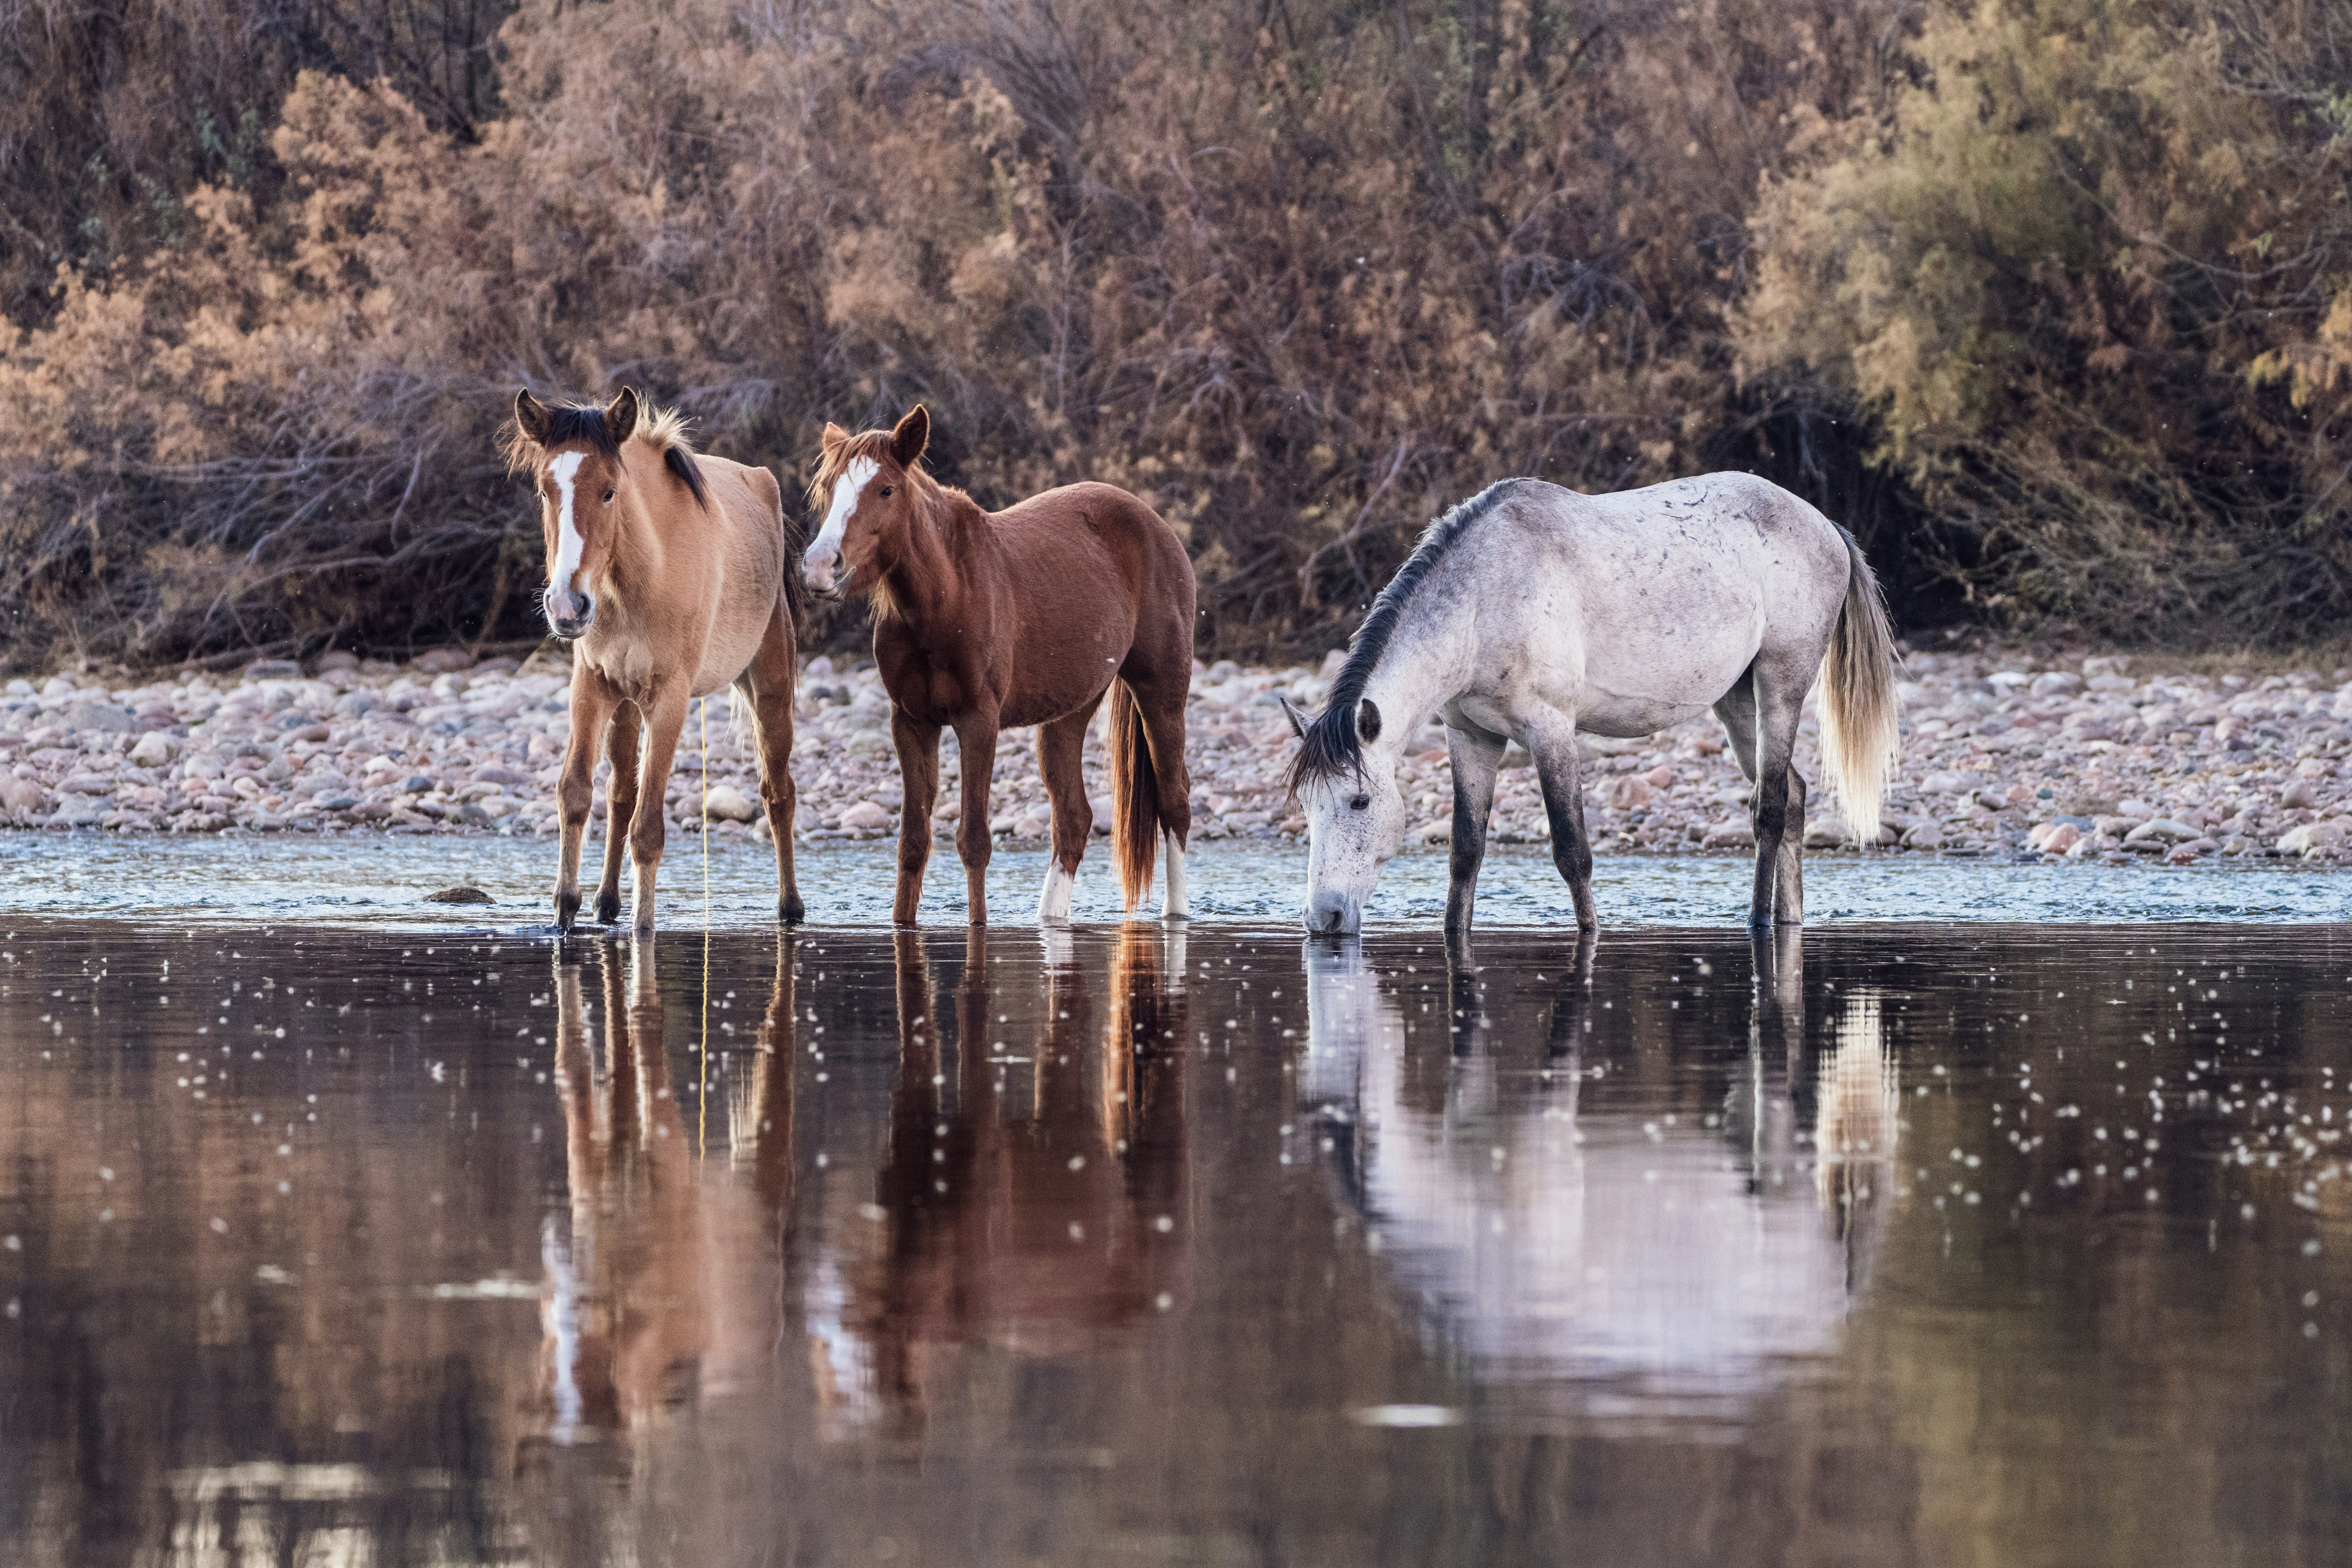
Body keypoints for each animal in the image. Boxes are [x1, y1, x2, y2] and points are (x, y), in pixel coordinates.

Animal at [506, 388, 804, 933]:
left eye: (609, 492)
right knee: (621, 792)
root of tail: (763, 483)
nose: (567, 606)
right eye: (544, 491)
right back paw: (606, 903)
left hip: (769, 692)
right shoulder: (593, 686)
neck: (640, 580)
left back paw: (790, 908)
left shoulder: (670, 700)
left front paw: (644, 929)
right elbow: (577, 794)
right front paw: (564, 912)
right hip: (625, 705)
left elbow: (649, 828)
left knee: (779, 794)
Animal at [800, 406, 1195, 926]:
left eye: (885, 489)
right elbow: (913, 842)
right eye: (828, 487)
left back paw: (1177, 914)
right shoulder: (911, 722)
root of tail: (1158, 526)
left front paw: (978, 925)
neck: (945, 599)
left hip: (1162, 694)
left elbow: (974, 841)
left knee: (1174, 804)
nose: (820, 567)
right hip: (1069, 710)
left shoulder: (977, 720)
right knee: (1073, 819)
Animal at [1282, 473, 1899, 934]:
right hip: (1737, 702)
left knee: (1769, 807)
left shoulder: (1551, 730)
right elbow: (1466, 850)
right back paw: (1791, 919)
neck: (1483, 600)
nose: (1324, 917)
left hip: (1780, 686)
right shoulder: (1471, 736)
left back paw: (1759, 922)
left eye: (1360, 800)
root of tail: (1824, 524)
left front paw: (1591, 933)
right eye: (1308, 805)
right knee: (1793, 796)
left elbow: (1572, 850)